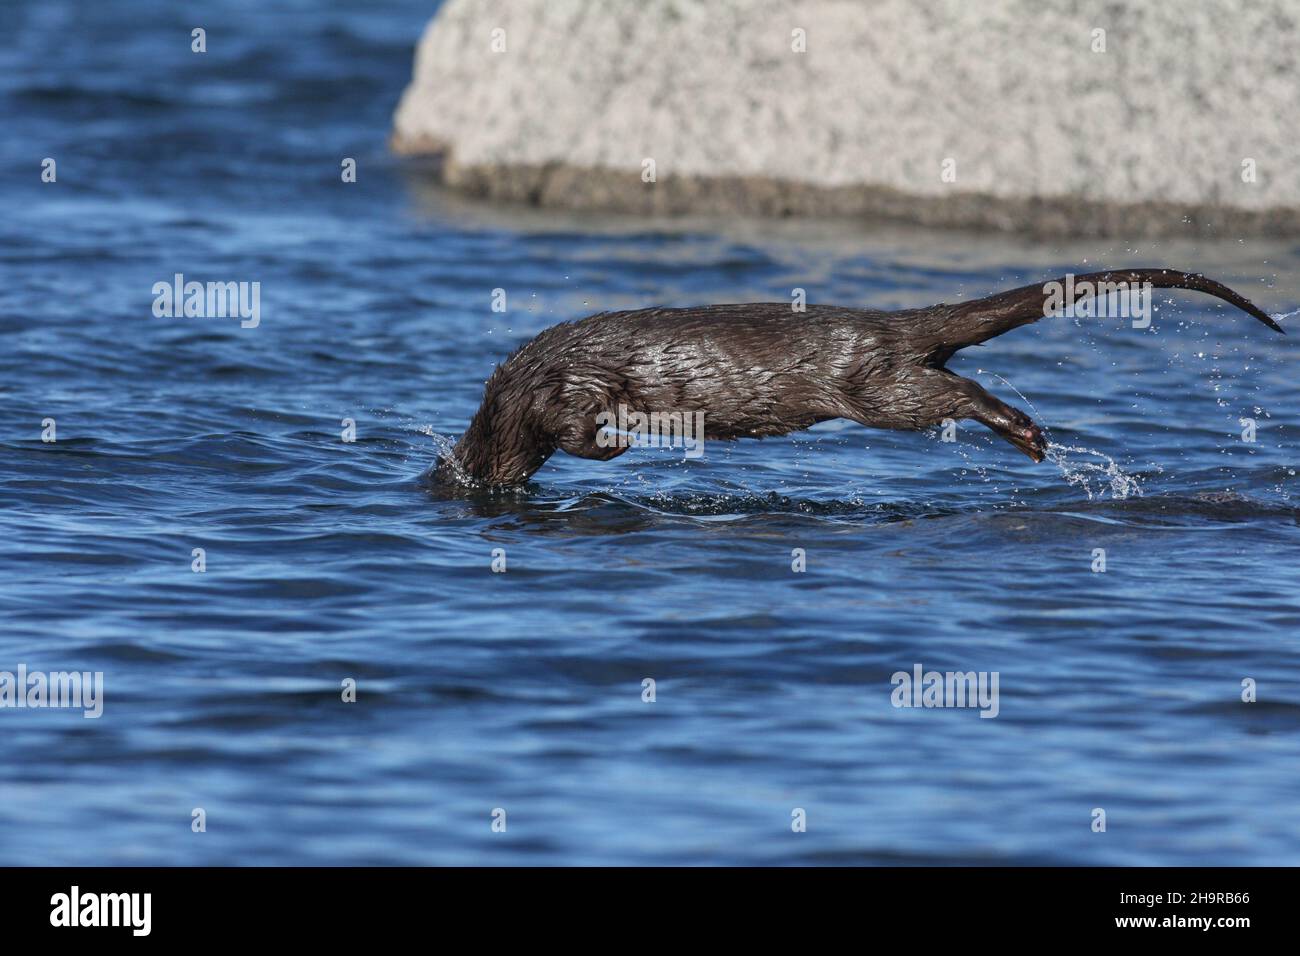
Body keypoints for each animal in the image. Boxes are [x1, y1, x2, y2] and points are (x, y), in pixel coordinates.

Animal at [437, 269, 1282, 486]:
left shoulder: (561, 390)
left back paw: (1028, 434)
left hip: (877, 387)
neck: (507, 401)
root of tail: (892, 324)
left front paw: (620, 438)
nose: (464, 479)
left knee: (950, 396)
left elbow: (581, 428)